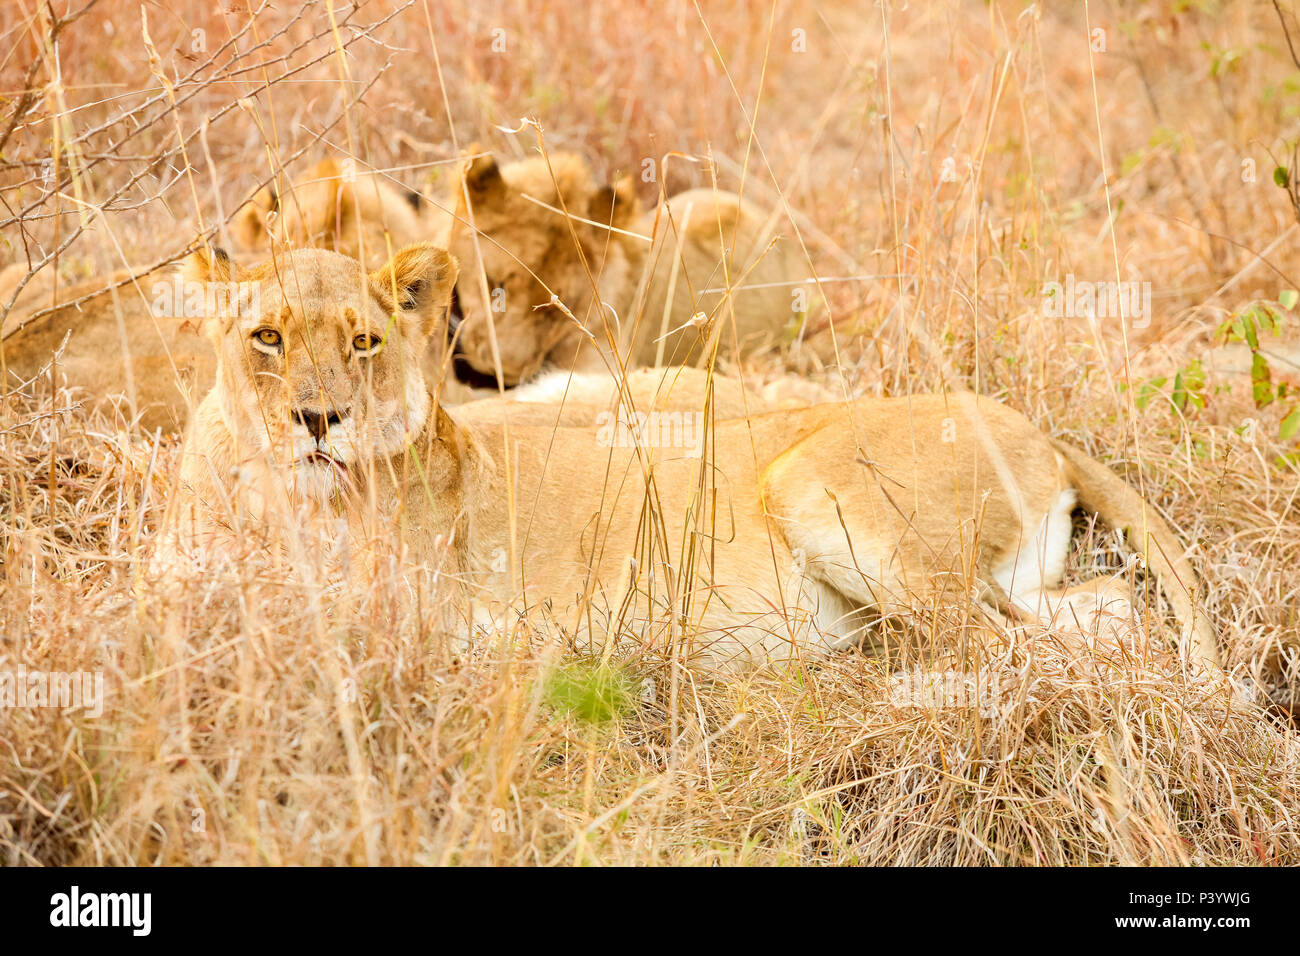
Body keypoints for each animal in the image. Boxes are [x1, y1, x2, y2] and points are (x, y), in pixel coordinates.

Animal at [168, 241, 1221, 673]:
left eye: (365, 343)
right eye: (267, 337)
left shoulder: (402, 623)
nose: (318, 419)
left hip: (816, 488)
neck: (280, 499)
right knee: (1103, 609)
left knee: (1005, 652)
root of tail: (1038, 430)